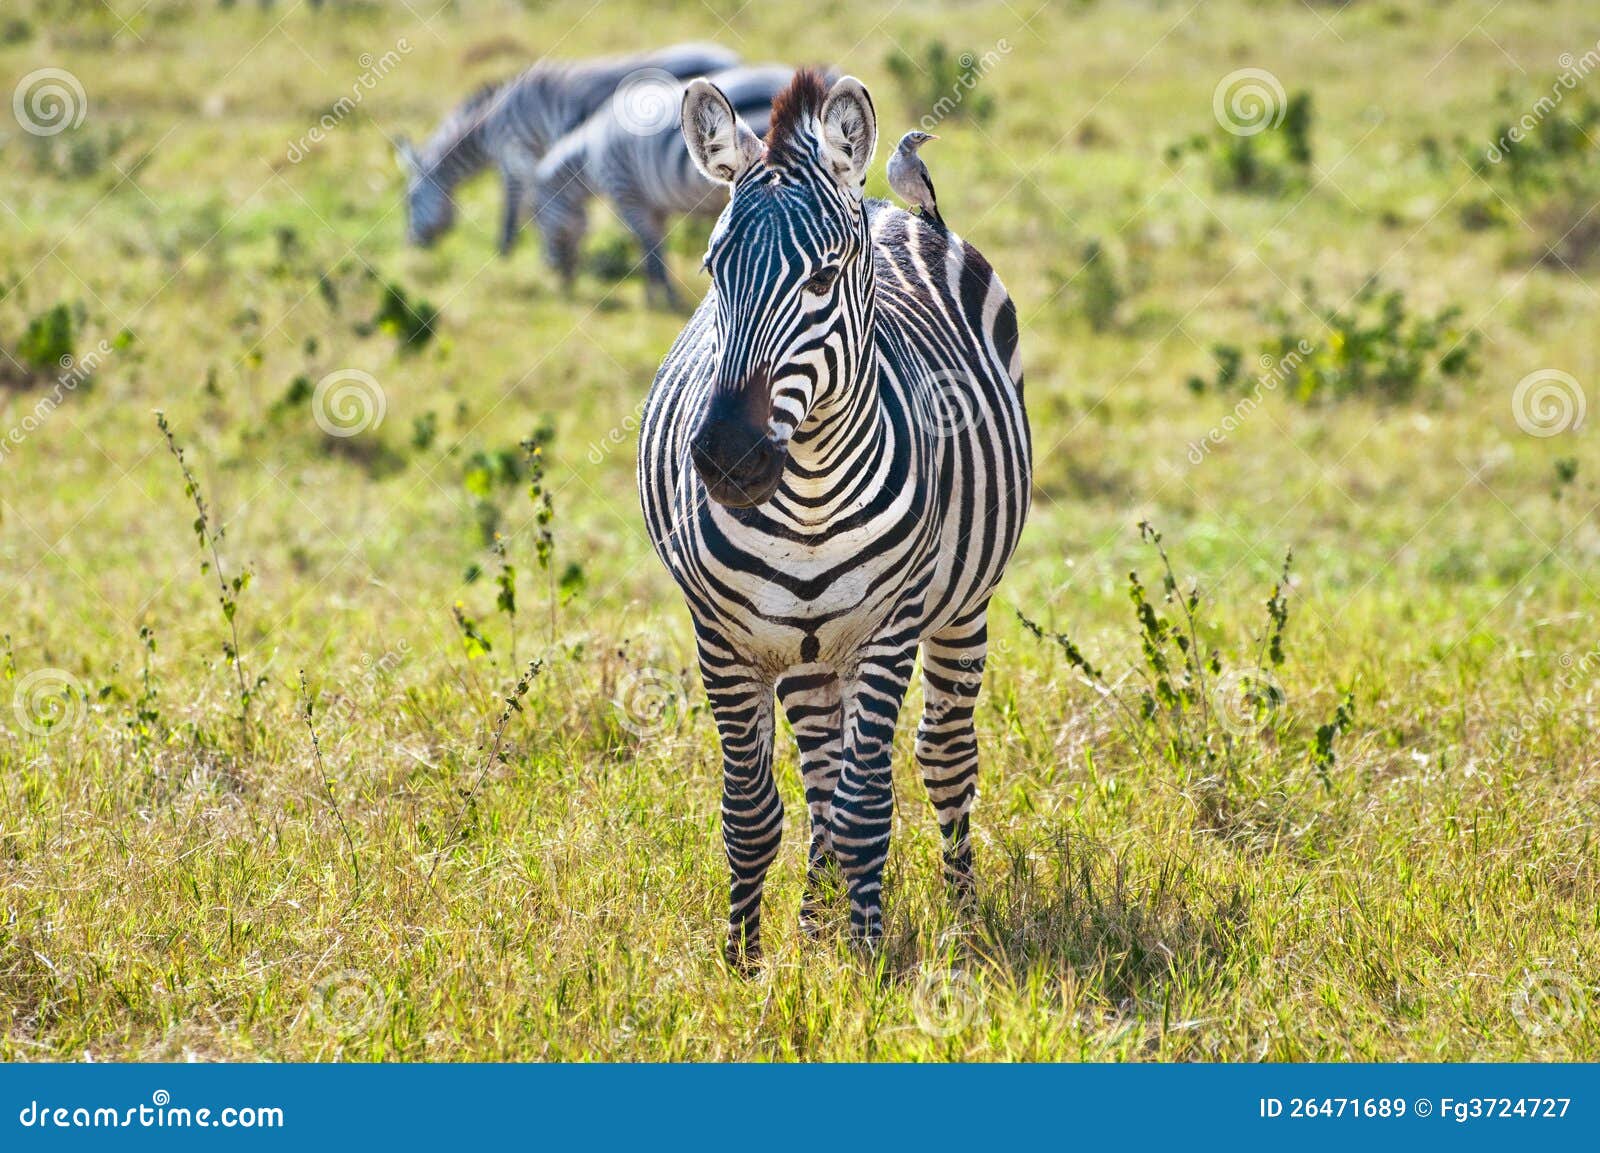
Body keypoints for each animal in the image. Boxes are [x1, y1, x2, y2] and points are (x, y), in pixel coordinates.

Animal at [394, 43, 740, 255]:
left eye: (409, 201)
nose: (411, 245)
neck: (490, 124)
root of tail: (729, 57)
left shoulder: (516, 150)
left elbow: (513, 199)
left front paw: (507, 246)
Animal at [530, 66, 803, 307]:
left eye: (539, 218)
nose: (560, 279)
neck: (591, 154)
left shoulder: (626, 194)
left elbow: (650, 247)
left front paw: (663, 299)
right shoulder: (653, 207)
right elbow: (655, 245)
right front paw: (655, 294)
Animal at [638, 70, 1031, 961]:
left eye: (821, 279)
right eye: (712, 272)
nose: (728, 460)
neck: (810, 496)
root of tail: (892, 207)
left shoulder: (889, 630)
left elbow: (865, 808)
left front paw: (868, 958)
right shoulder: (723, 639)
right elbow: (753, 815)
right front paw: (747, 963)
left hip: (960, 611)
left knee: (943, 759)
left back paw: (961, 921)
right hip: (809, 648)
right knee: (820, 772)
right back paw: (816, 923)